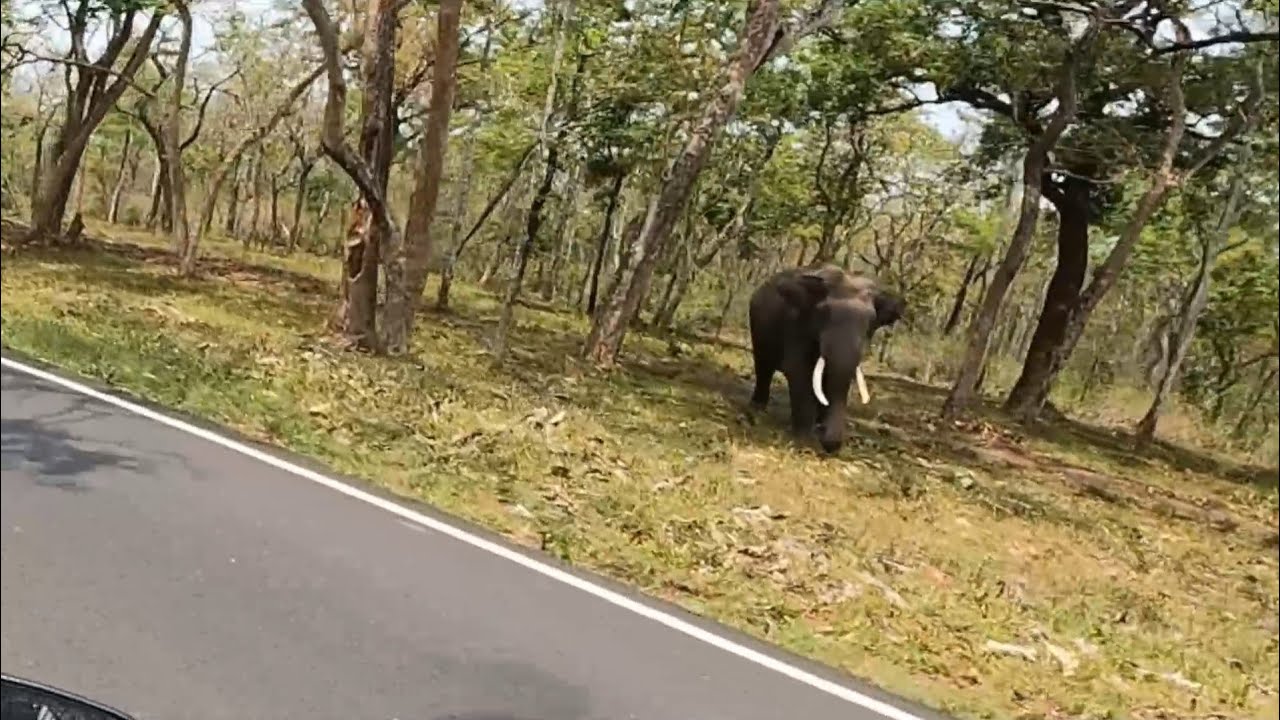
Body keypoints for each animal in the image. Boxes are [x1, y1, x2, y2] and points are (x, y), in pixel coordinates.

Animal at [747, 264, 905, 454]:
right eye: (823, 313)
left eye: (871, 322)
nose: (831, 445)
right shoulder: (796, 325)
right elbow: (799, 371)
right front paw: (804, 437)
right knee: (763, 365)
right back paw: (757, 408)